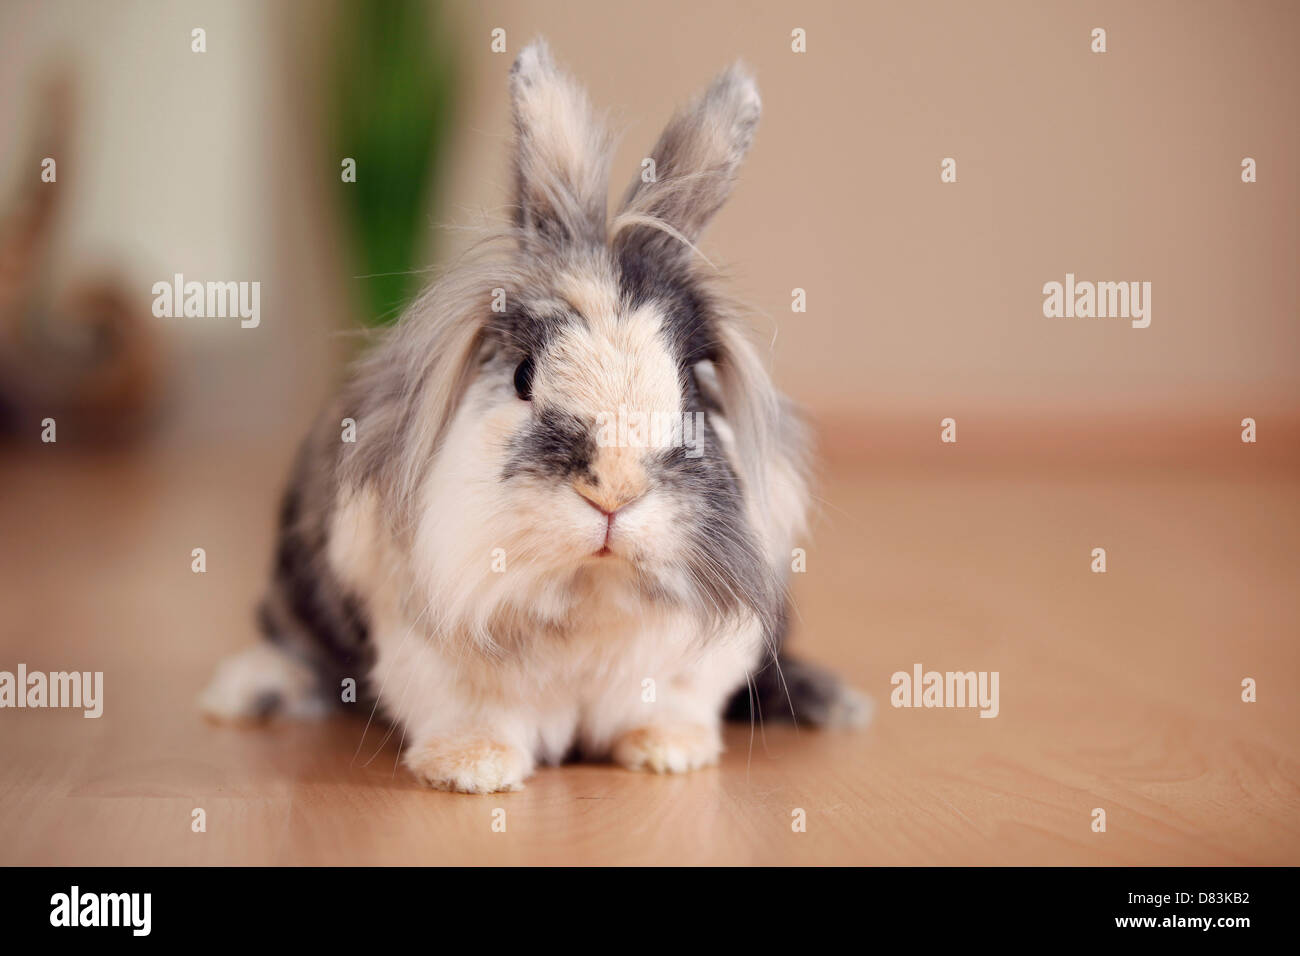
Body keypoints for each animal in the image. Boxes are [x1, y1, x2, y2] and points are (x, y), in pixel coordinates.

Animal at [200, 40, 869, 793]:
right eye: (523, 376)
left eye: (691, 388)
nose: (613, 492)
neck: (587, 590)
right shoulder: (432, 657)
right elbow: (474, 714)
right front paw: (473, 769)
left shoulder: (690, 669)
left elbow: (669, 707)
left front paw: (670, 754)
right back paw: (244, 693)